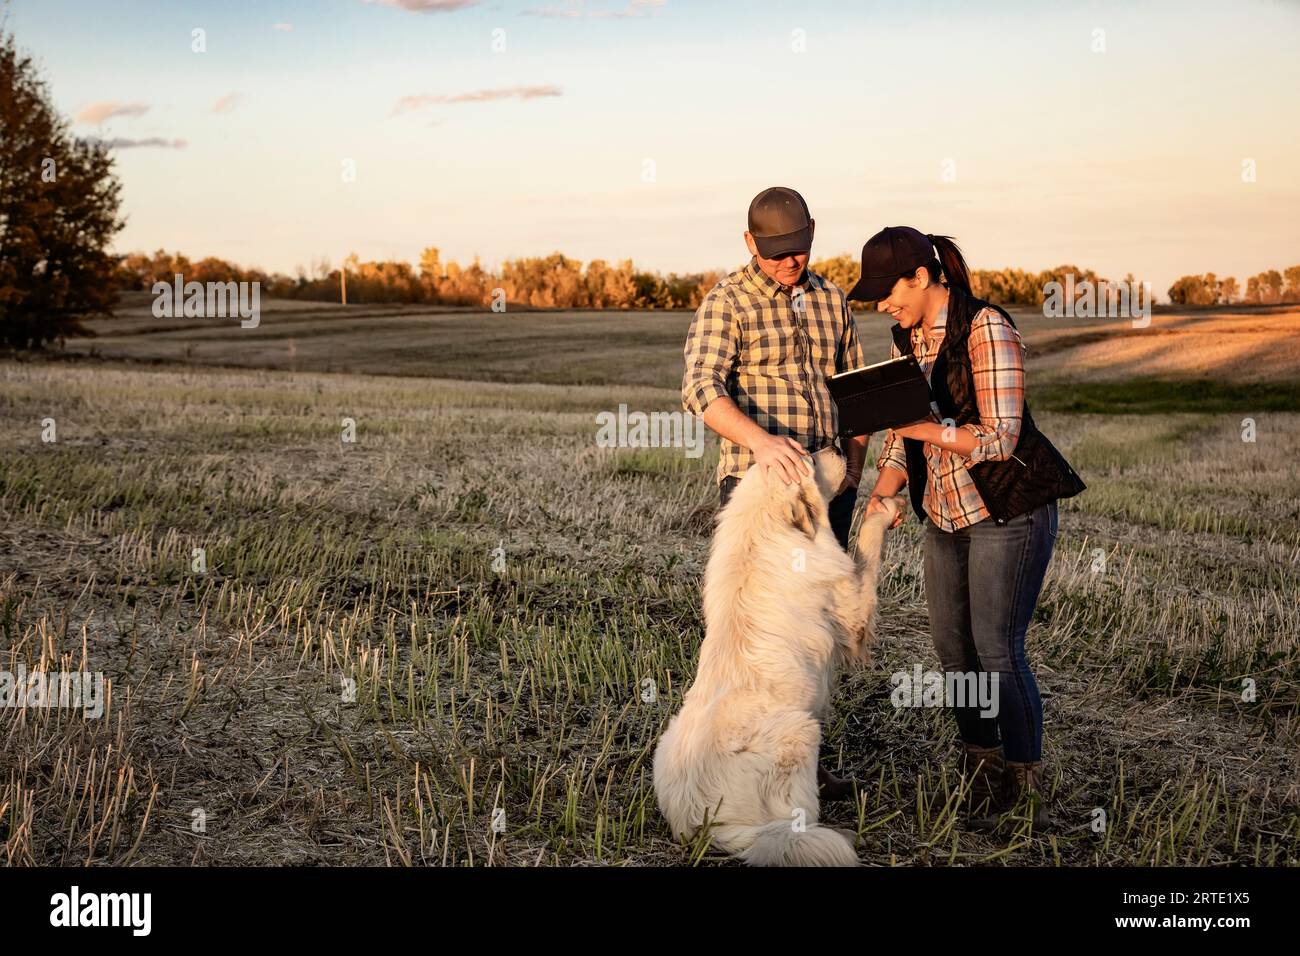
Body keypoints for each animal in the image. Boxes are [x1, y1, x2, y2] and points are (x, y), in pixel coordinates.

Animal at [650, 447, 904, 868]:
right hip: (801, 733)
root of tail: (698, 825)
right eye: (809, 461)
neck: (763, 530)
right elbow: (866, 548)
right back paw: (843, 835)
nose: (838, 446)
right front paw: (883, 510)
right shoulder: (852, 613)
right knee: (792, 825)